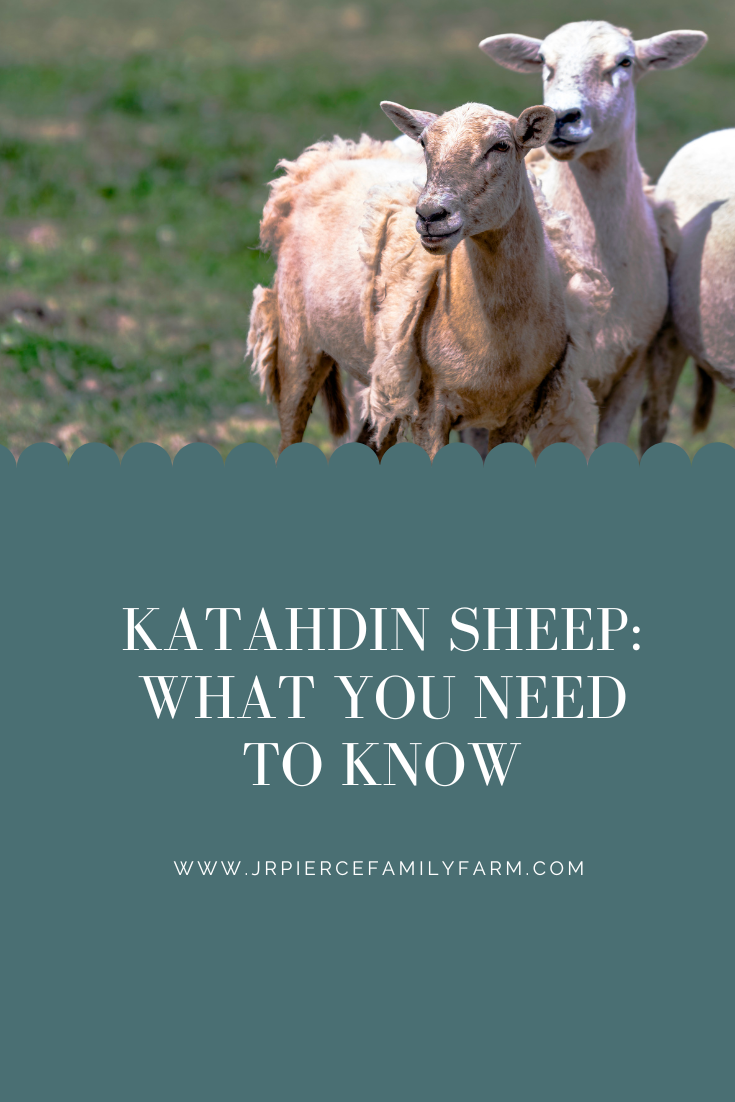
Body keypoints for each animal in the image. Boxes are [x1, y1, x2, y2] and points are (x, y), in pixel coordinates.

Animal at [247, 101, 606, 461]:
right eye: (424, 144)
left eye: (501, 146)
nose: (431, 214)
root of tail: (325, 157)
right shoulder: (430, 406)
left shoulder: (519, 410)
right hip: (298, 342)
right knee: (290, 431)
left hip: (385, 380)